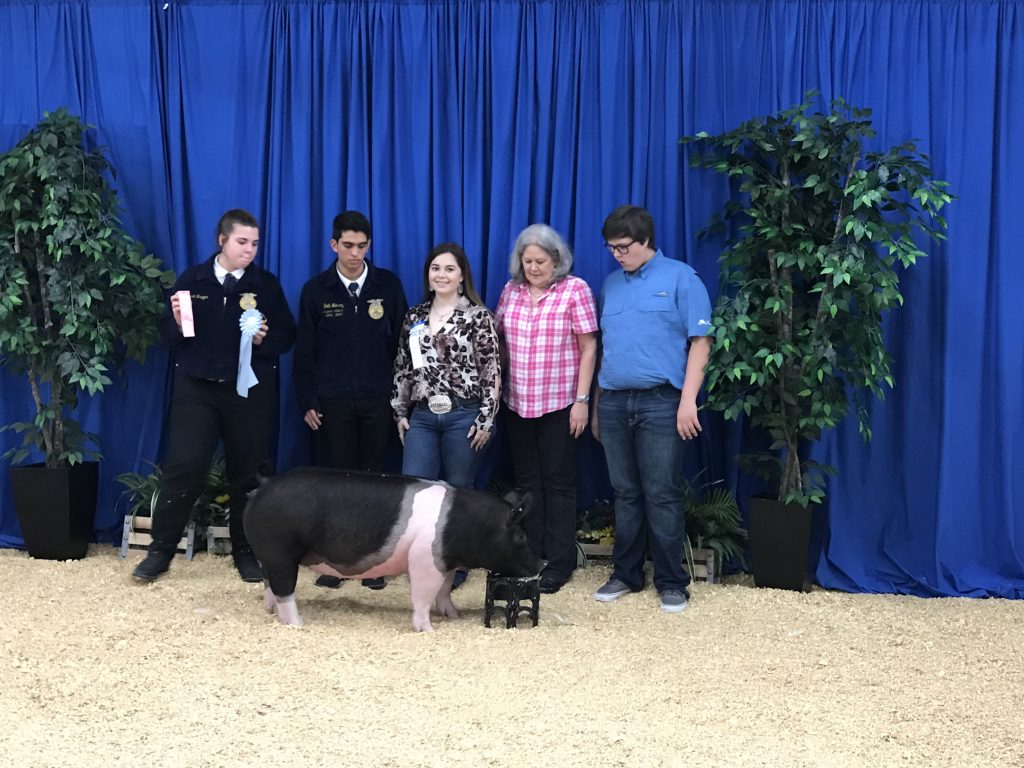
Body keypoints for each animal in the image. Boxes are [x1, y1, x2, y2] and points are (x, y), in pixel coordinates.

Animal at [243, 467, 542, 631]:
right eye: (521, 535)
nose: (543, 563)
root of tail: (264, 485)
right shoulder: (424, 559)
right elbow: (423, 596)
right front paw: (427, 630)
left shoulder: (445, 562)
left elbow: (444, 590)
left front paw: (453, 615)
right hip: (281, 550)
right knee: (284, 590)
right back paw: (298, 624)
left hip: (268, 554)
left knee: (269, 584)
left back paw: (270, 611)